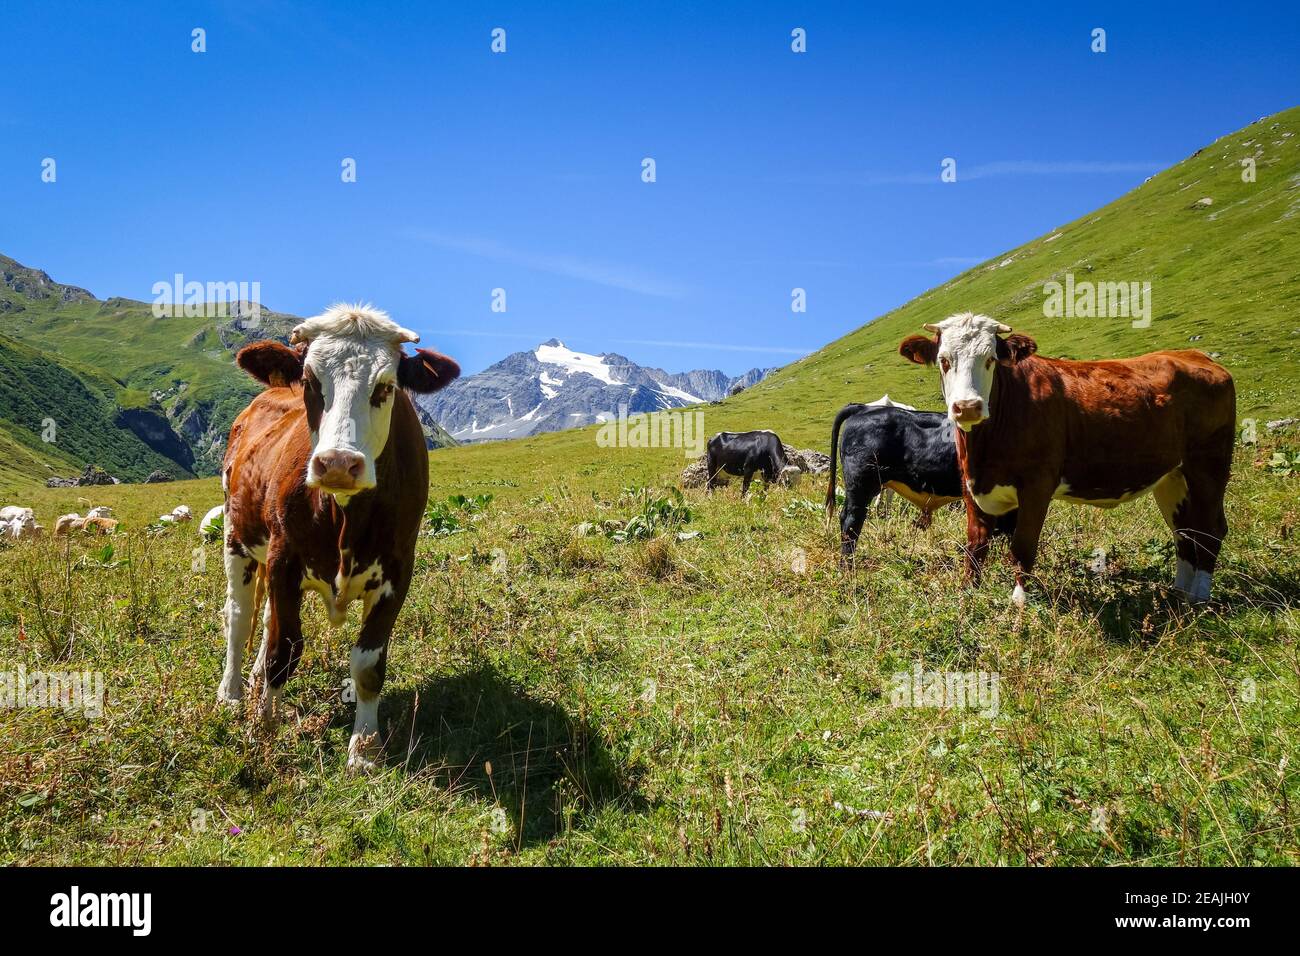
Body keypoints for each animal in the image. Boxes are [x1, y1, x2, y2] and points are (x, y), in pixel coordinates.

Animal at [217, 303, 459, 772]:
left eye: (385, 386)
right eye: (311, 382)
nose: (337, 464)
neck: (345, 512)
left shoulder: (398, 570)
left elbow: (367, 664)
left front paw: (364, 749)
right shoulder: (284, 558)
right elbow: (284, 650)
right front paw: (263, 729)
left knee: (267, 618)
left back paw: (252, 684)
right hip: (238, 536)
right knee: (239, 616)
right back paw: (233, 692)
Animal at [899, 312, 1234, 605]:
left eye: (990, 359)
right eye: (944, 361)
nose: (968, 406)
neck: (983, 446)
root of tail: (1196, 355)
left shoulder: (1037, 483)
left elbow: (1022, 546)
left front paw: (1019, 604)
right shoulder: (970, 482)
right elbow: (975, 544)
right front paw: (968, 594)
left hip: (1209, 465)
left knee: (1210, 529)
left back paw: (1199, 599)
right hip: (1172, 477)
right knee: (1185, 532)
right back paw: (1180, 596)